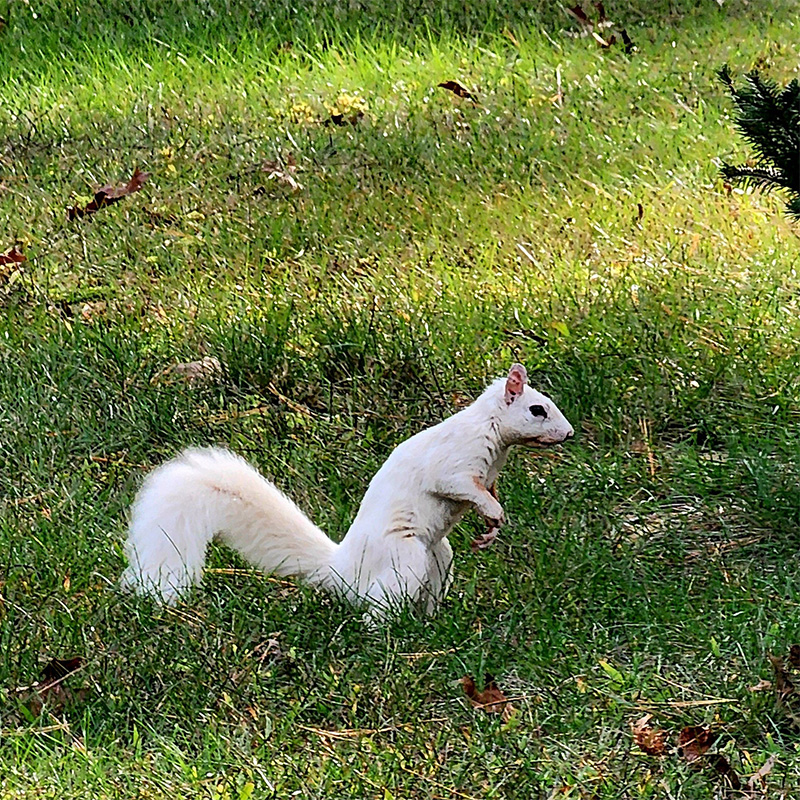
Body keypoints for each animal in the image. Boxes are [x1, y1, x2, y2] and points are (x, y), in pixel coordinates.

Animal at [121, 364, 574, 616]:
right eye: (537, 409)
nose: (568, 433)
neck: (493, 433)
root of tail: (342, 571)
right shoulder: (453, 464)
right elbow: (458, 485)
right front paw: (492, 514)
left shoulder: (489, 473)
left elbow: (489, 490)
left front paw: (493, 524)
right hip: (405, 558)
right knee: (377, 608)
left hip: (438, 556)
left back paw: (431, 622)